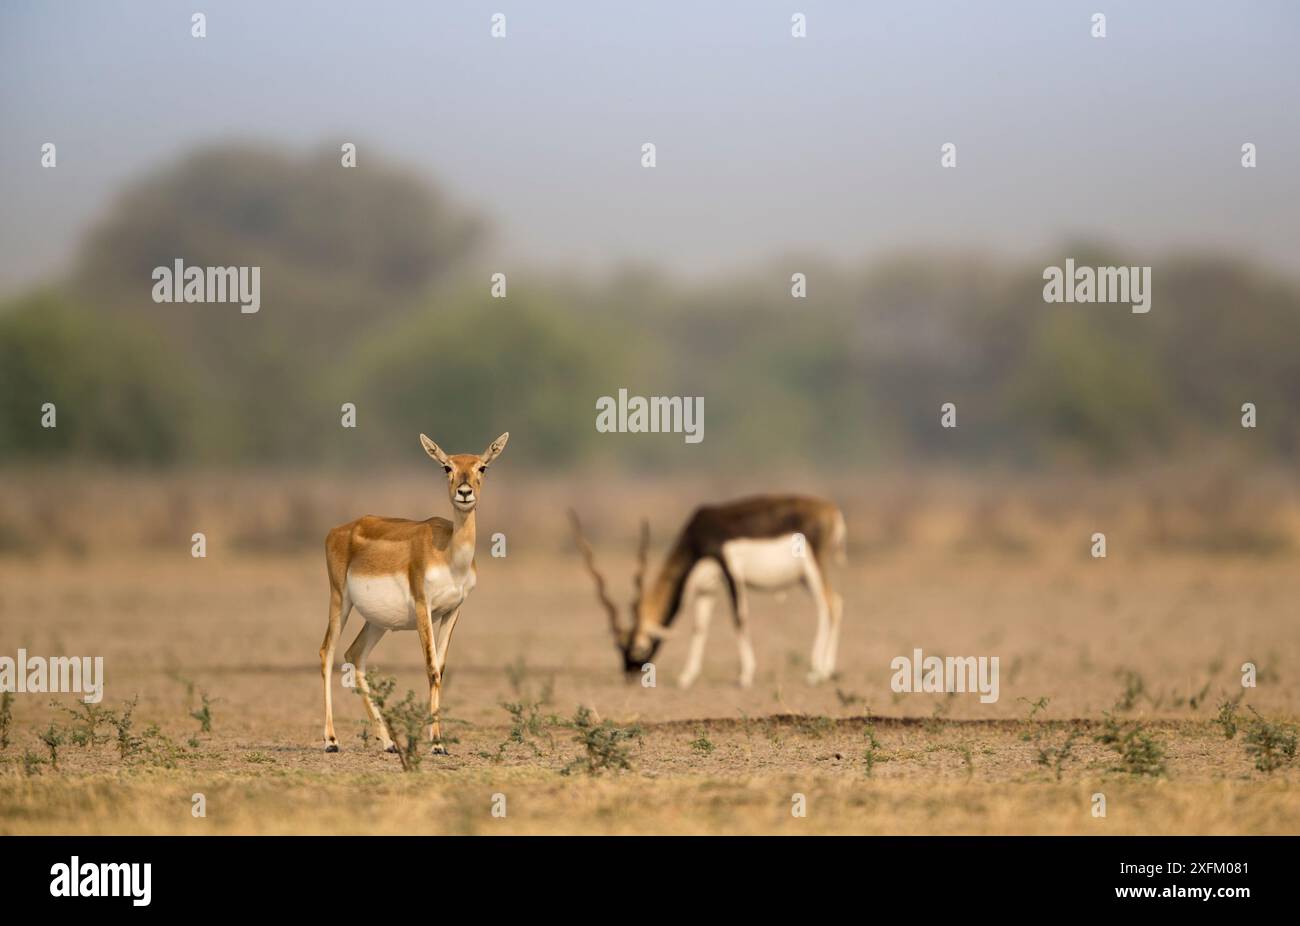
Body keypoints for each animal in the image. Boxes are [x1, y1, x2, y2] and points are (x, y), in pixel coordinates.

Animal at [318, 432, 509, 754]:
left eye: (482, 467)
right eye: (447, 466)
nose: (464, 492)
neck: (449, 554)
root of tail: (338, 530)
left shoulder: (453, 610)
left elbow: (440, 669)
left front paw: (438, 741)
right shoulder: (423, 606)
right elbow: (431, 668)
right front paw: (437, 743)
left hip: (377, 622)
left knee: (354, 653)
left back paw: (388, 742)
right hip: (340, 600)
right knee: (327, 652)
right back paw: (331, 740)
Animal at [571, 495, 846, 688]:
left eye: (639, 648)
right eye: (618, 647)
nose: (629, 675)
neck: (697, 535)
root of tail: (833, 511)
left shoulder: (730, 570)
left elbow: (739, 619)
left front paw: (745, 677)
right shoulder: (707, 588)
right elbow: (699, 627)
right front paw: (686, 677)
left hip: (813, 570)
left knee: (826, 606)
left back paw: (816, 672)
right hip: (804, 579)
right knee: (837, 603)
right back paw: (827, 670)